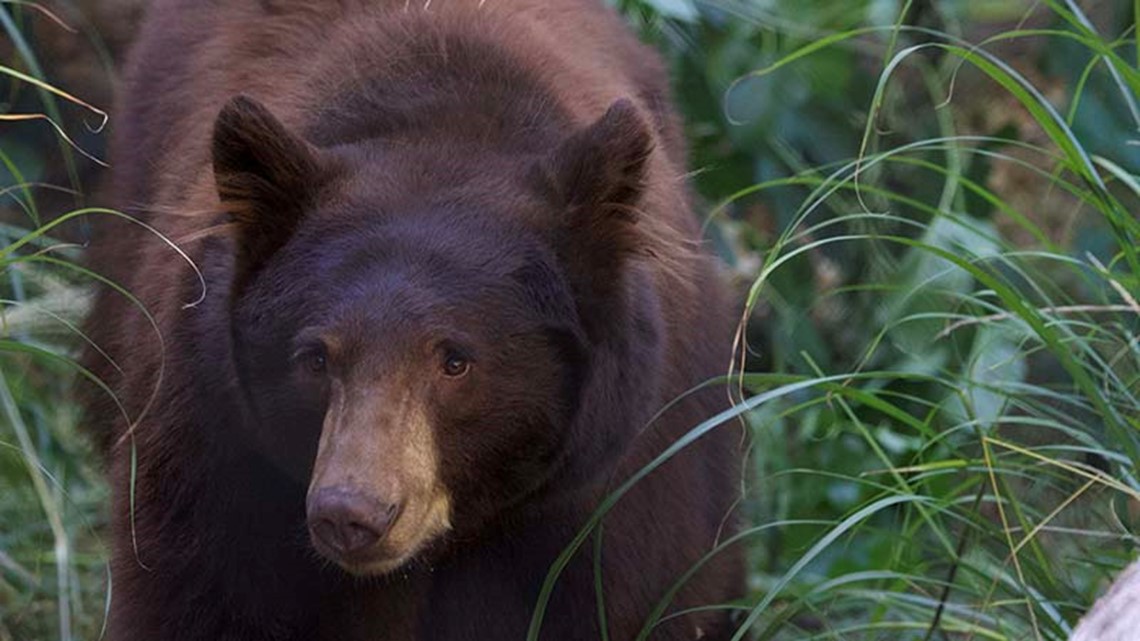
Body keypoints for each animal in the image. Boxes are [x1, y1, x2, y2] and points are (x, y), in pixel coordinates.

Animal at [80, 1, 745, 639]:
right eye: (314, 358)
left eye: (456, 361)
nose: (351, 516)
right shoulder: (215, 450)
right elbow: (198, 599)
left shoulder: (616, 488)